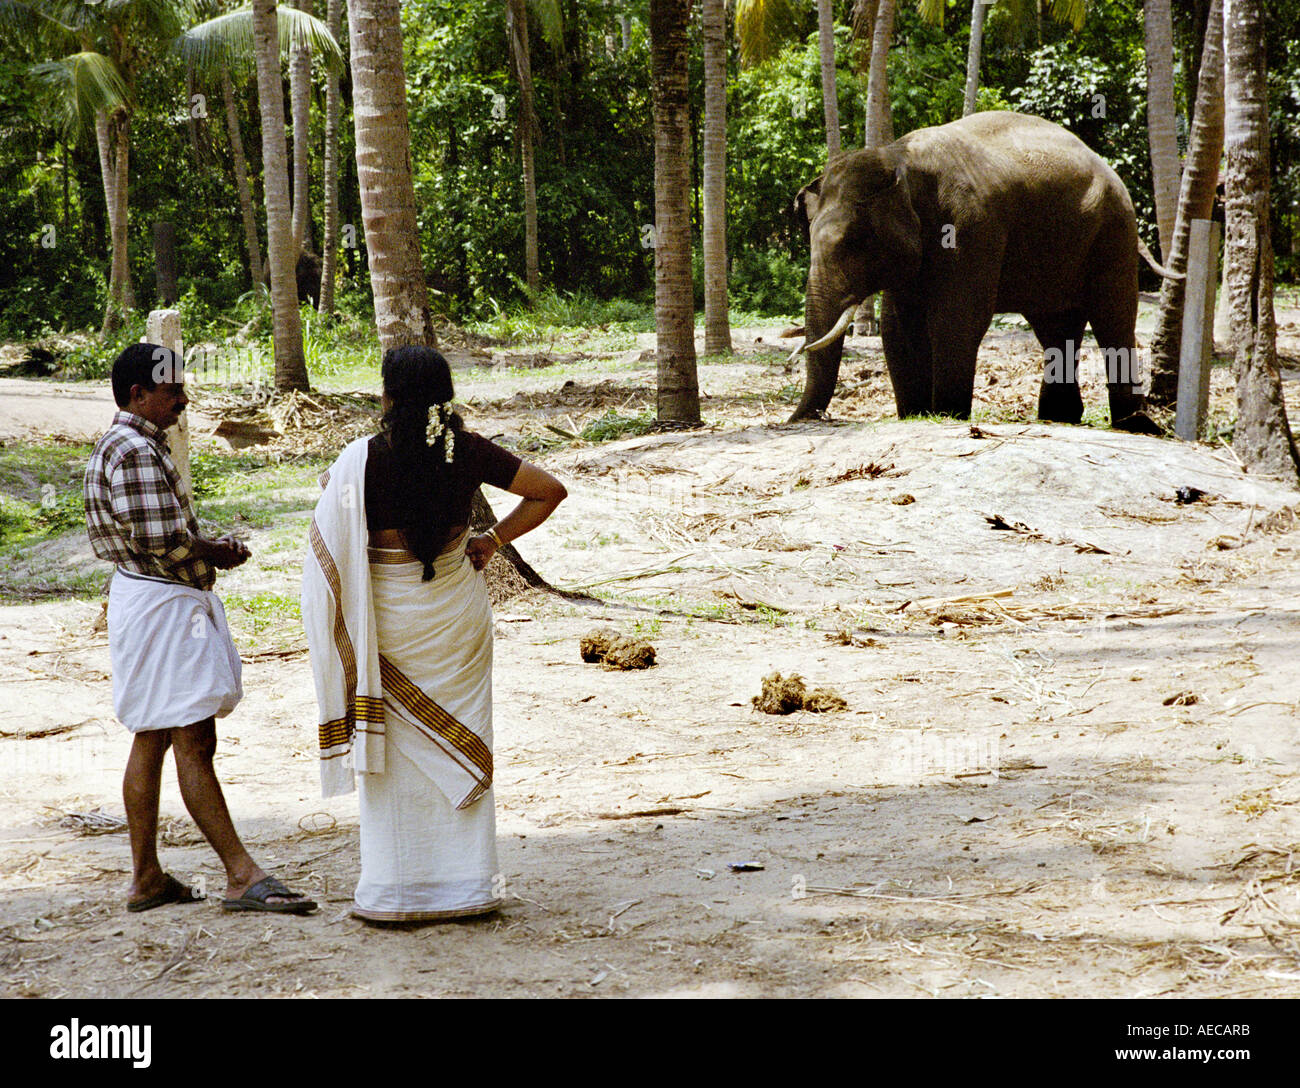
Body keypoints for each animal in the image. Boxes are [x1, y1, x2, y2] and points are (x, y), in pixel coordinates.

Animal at [789, 111, 1174, 432]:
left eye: (855, 242)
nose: (802, 418)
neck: (898, 157)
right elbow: (898, 327)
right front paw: (914, 415)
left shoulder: (970, 228)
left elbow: (956, 318)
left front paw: (946, 414)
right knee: (1055, 325)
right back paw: (1060, 418)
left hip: (1114, 232)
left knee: (1113, 318)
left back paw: (1135, 425)